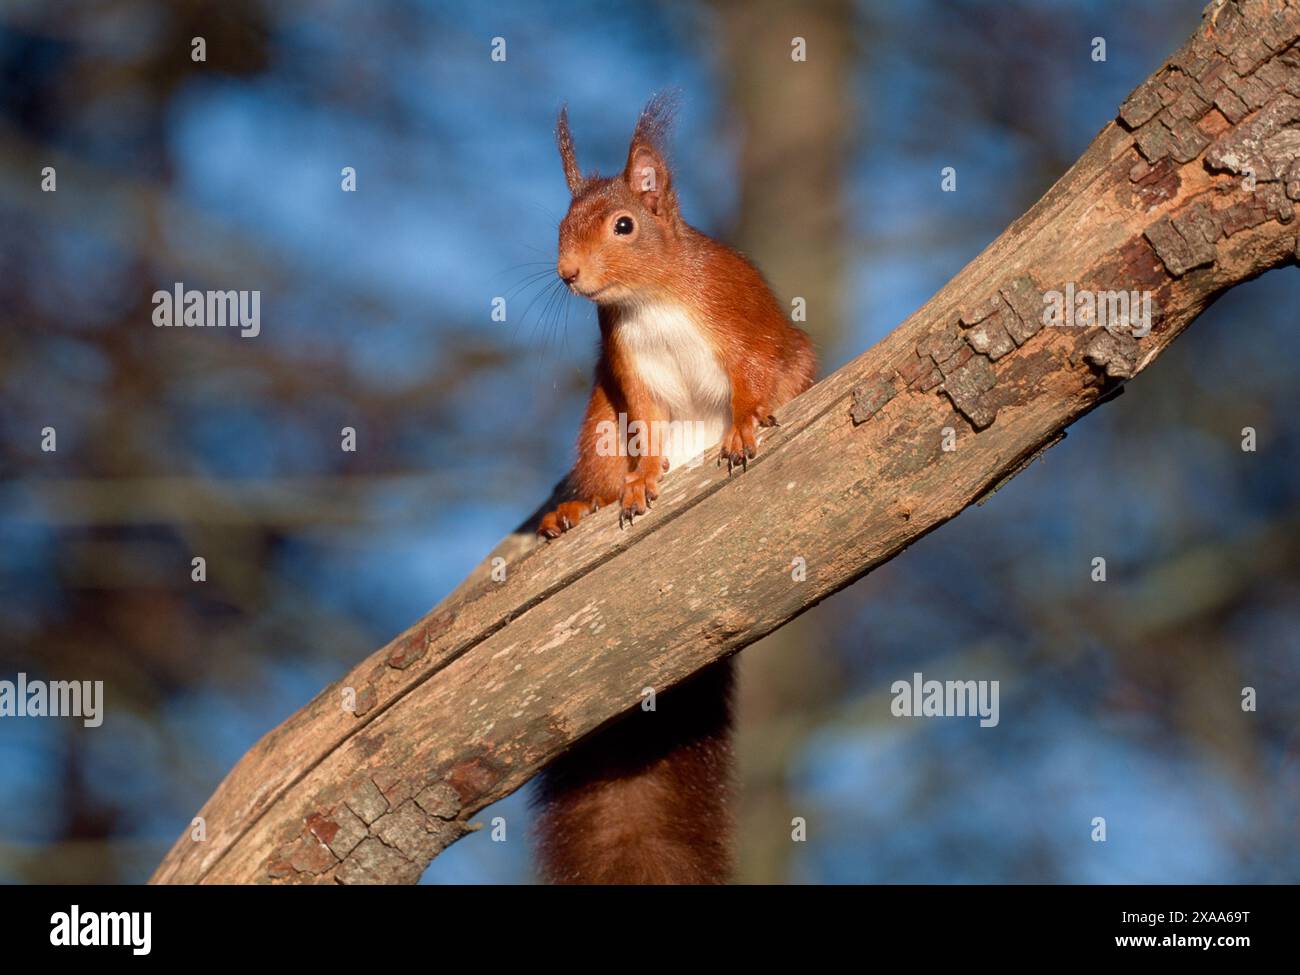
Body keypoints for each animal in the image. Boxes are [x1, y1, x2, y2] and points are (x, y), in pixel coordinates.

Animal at [532, 94, 817, 884]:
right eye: (560, 222)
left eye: (625, 225)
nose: (568, 273)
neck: (649, 299)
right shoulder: (630, 374)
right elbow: (648, 433)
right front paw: (638, 488)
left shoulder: (743, 323)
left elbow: (759, 377)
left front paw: (745, 427)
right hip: (597, 426)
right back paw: (577, 510)